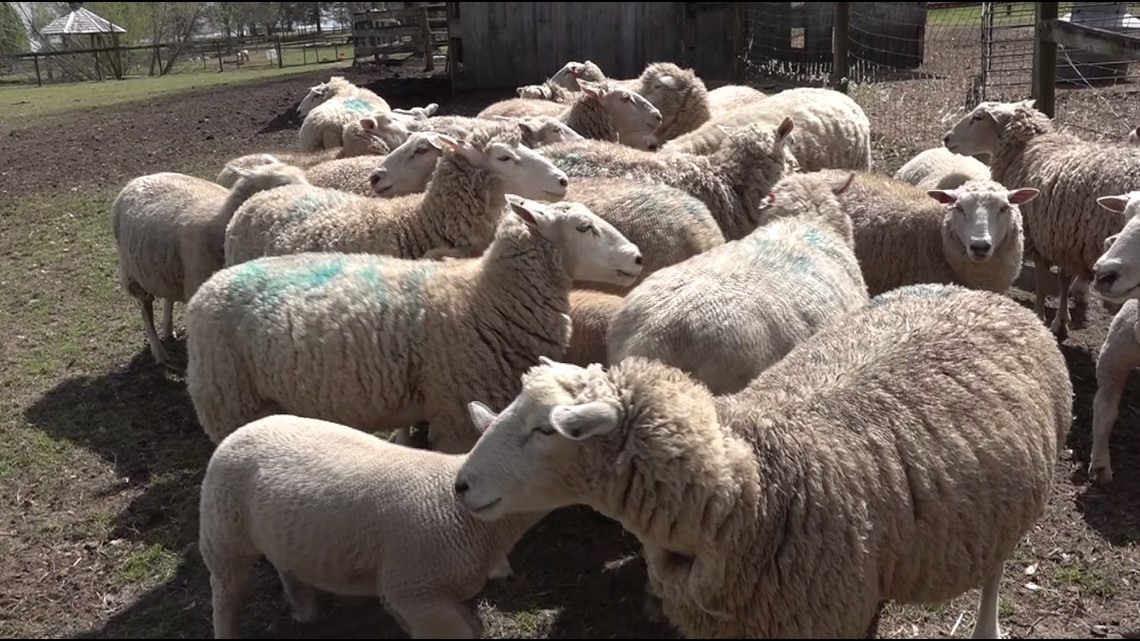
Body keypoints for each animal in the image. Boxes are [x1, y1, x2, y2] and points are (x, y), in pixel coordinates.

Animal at [111, 162, 310, 367]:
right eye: (281, 184)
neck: (222, 223)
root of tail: (138, 179)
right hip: (132, 272)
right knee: (146, 309)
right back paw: (159, 352)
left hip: (168, 267)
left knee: (168, 298)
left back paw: (168, 330)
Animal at [186, 197, 643, 454]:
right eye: (583, 227)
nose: (638, 258)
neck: (486, 297)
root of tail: (206, 289)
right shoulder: (457, 410)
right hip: (229, 401)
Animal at [199, 413, 547, 639]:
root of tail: (241, 430)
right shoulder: (414, 589)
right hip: (223, 535)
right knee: (225, 594)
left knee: (284, 562)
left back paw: (303, 609)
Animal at [452, 283, 1072, 639]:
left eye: (545, 429)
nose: (461, 486)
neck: (756, 487)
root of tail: (982, 294)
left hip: (1008, 509)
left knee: (994, 574)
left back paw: (988, 627)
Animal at [943, 98, 1140, 341]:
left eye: (978, 117)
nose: (947, 138)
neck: (1029, 148)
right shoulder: (1067, 237)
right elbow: (1064, 278)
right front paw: (1062, 320)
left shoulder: (1040, 234)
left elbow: (1043, 279)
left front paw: (1043, 315)